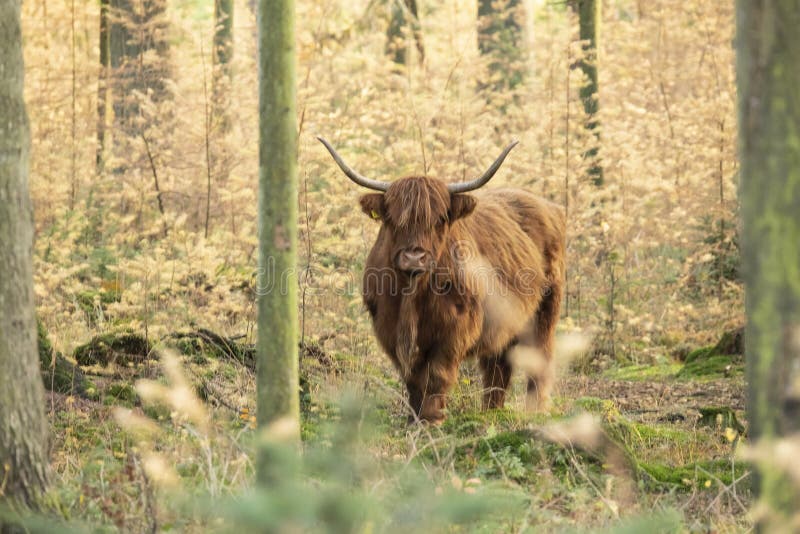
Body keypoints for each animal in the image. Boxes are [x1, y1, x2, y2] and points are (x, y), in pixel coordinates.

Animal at [319, 137, 566, 423]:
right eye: (392, 219)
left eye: (439, 220)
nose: (414, 257)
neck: (412, 293)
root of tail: (547, 205)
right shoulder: (387, 327)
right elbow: (412, 378)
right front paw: (414, 418)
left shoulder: (455, 329)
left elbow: (436, 374)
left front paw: (432, 419)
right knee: (497, 366)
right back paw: (491, 412)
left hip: (545, 311)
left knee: (540, 359)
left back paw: (535, 412)